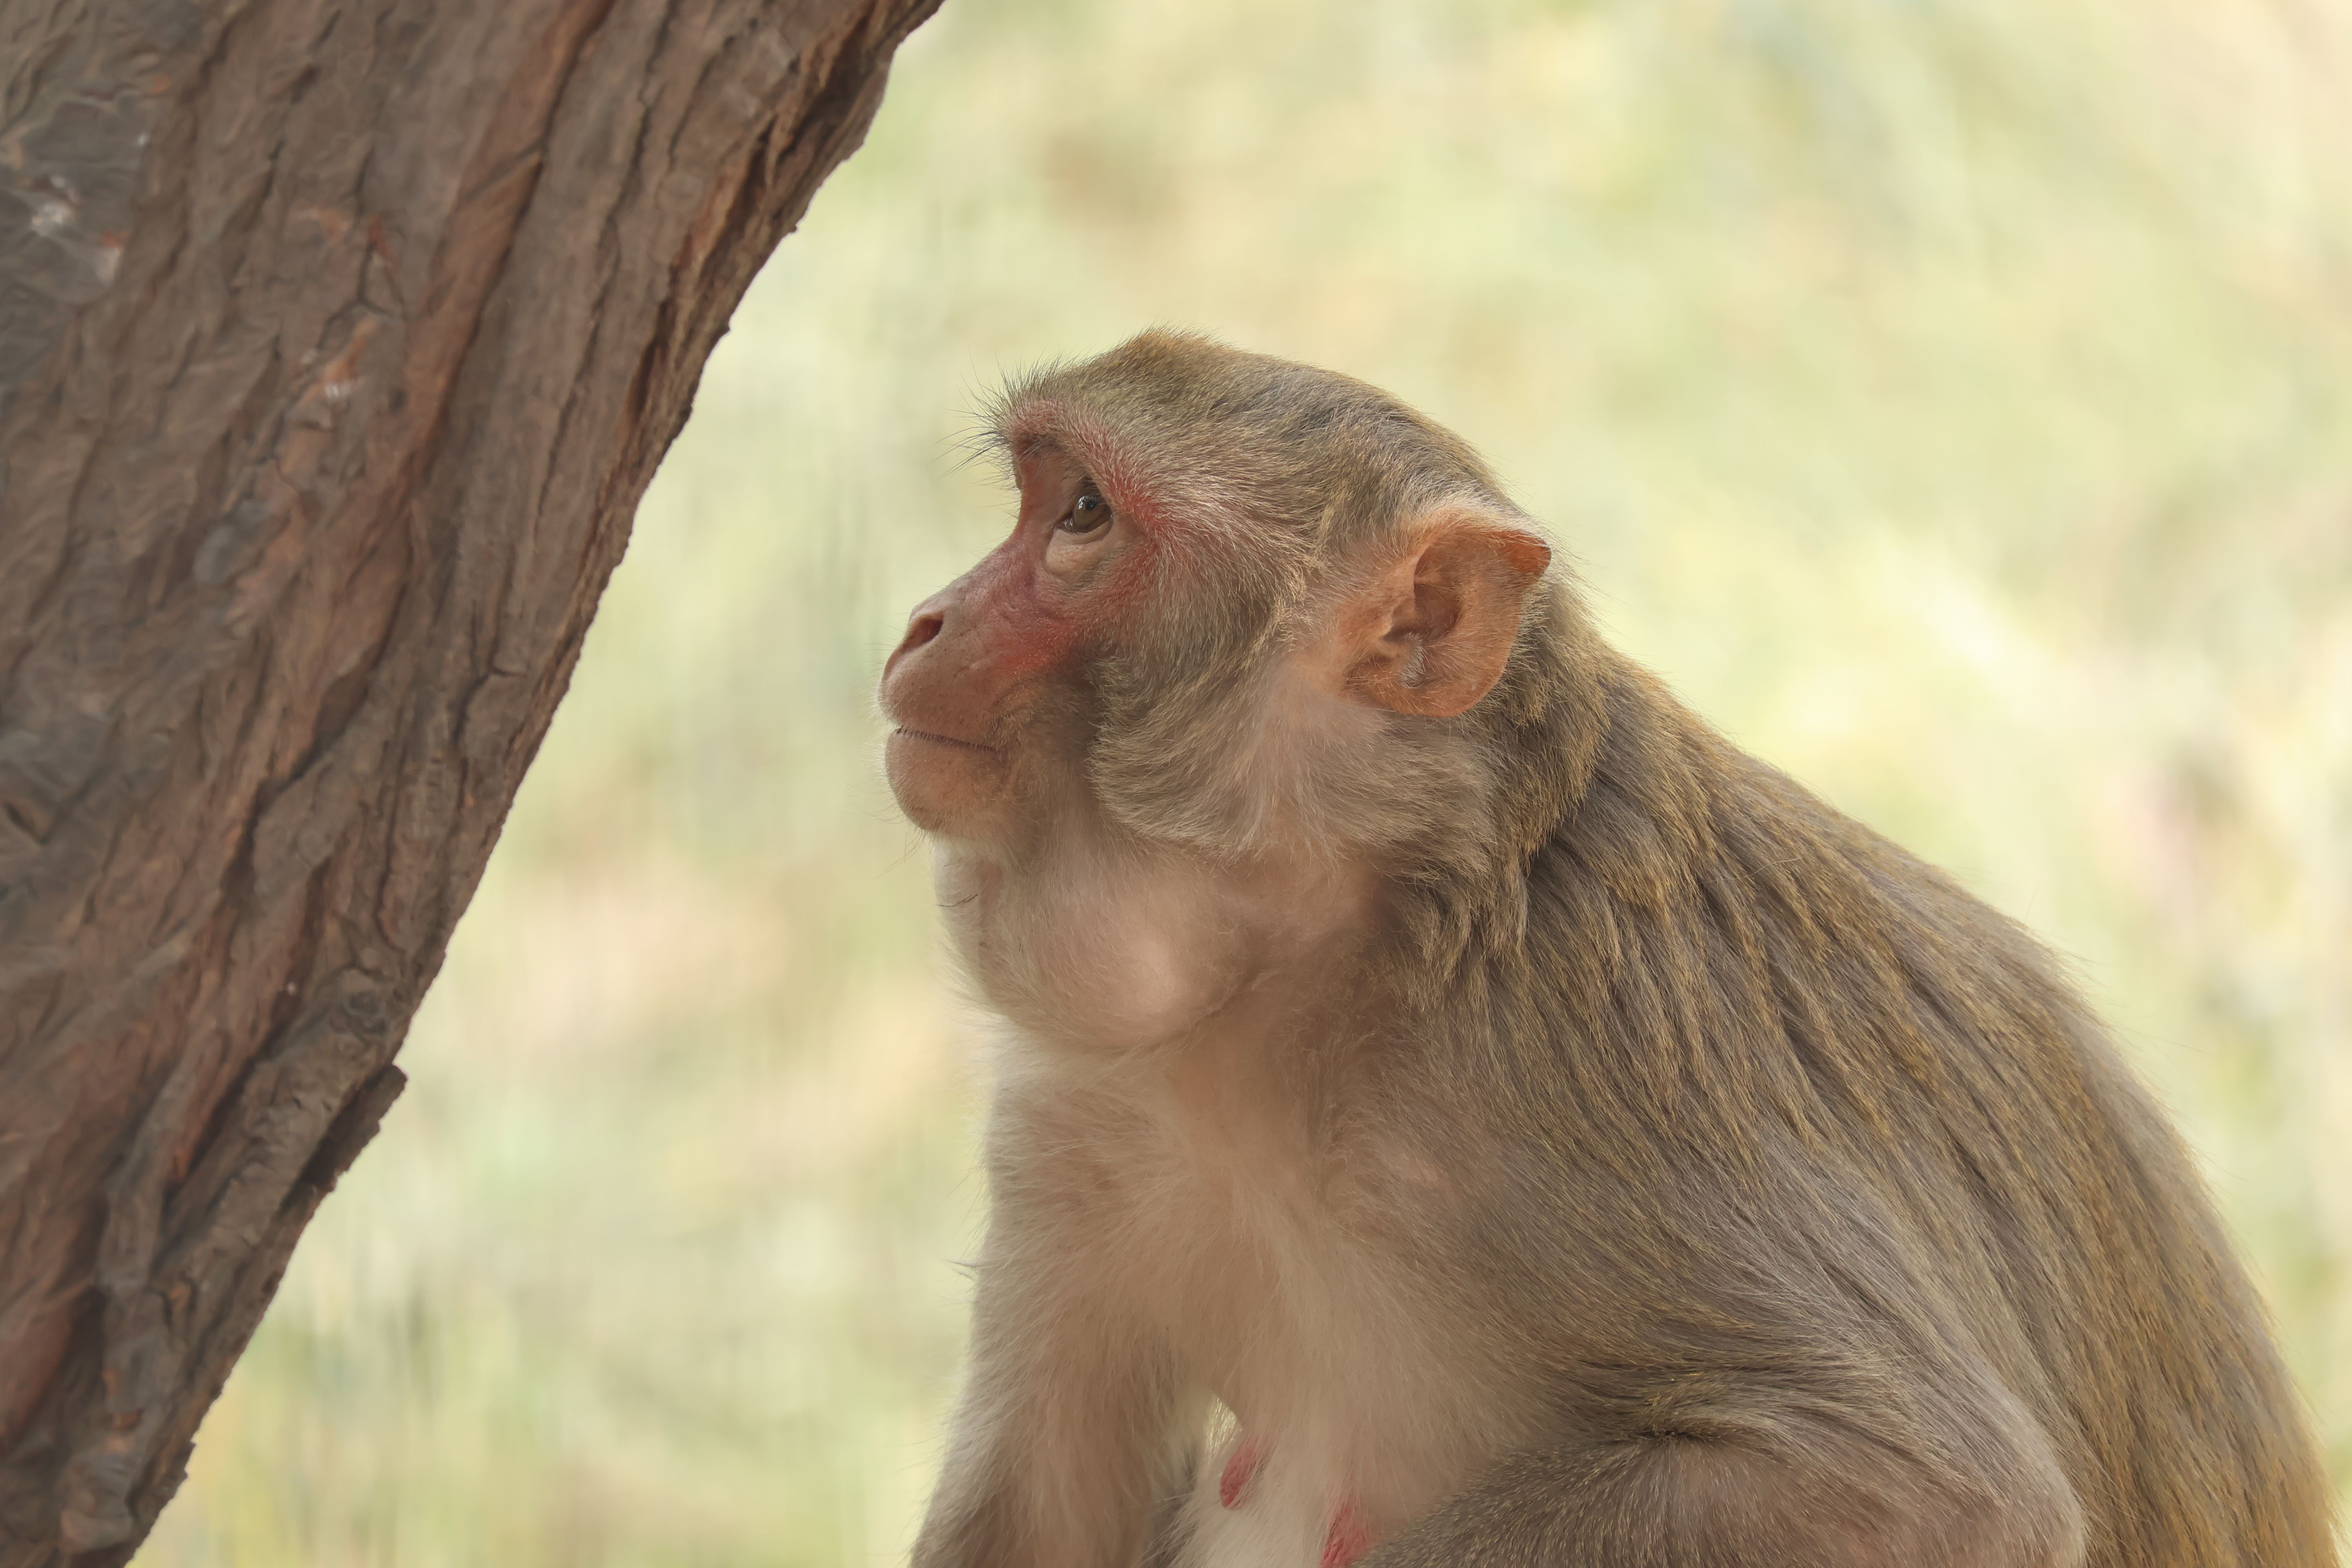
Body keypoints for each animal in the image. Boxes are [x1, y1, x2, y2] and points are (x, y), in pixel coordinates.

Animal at [875, 330, 2337, 1568]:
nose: (924, 620)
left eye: (1081, 517)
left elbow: (1926, 1487)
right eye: (1043, 495)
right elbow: (1040, 1514)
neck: (1320, 980)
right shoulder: (1088, 1117)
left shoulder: (1572, 1098)